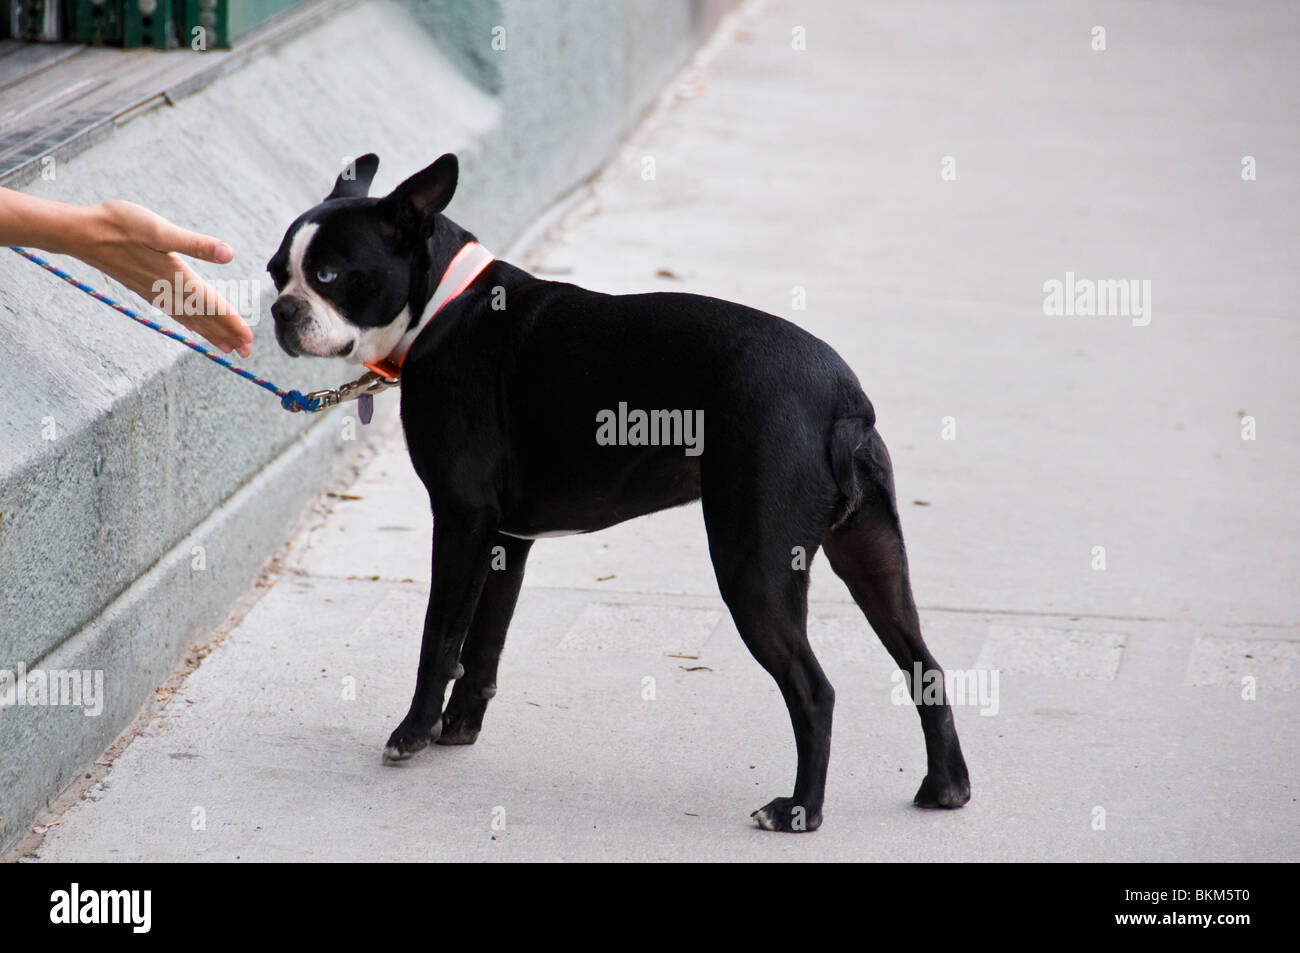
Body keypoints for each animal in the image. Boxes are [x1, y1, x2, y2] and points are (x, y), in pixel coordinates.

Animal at [269, 152, 972, 826]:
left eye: (327, 276)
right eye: (278, 273)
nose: (280, 309)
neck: (445, 302)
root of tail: (844, 401)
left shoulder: (462, 520)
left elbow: (439, 636)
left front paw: (414, 733)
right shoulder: (507, 539)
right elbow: (486, 640)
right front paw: (460, 727)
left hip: (753, 567)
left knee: (813, 688)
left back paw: (800, 809)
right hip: (871, 556)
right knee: (924, 664)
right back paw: (945, 787)